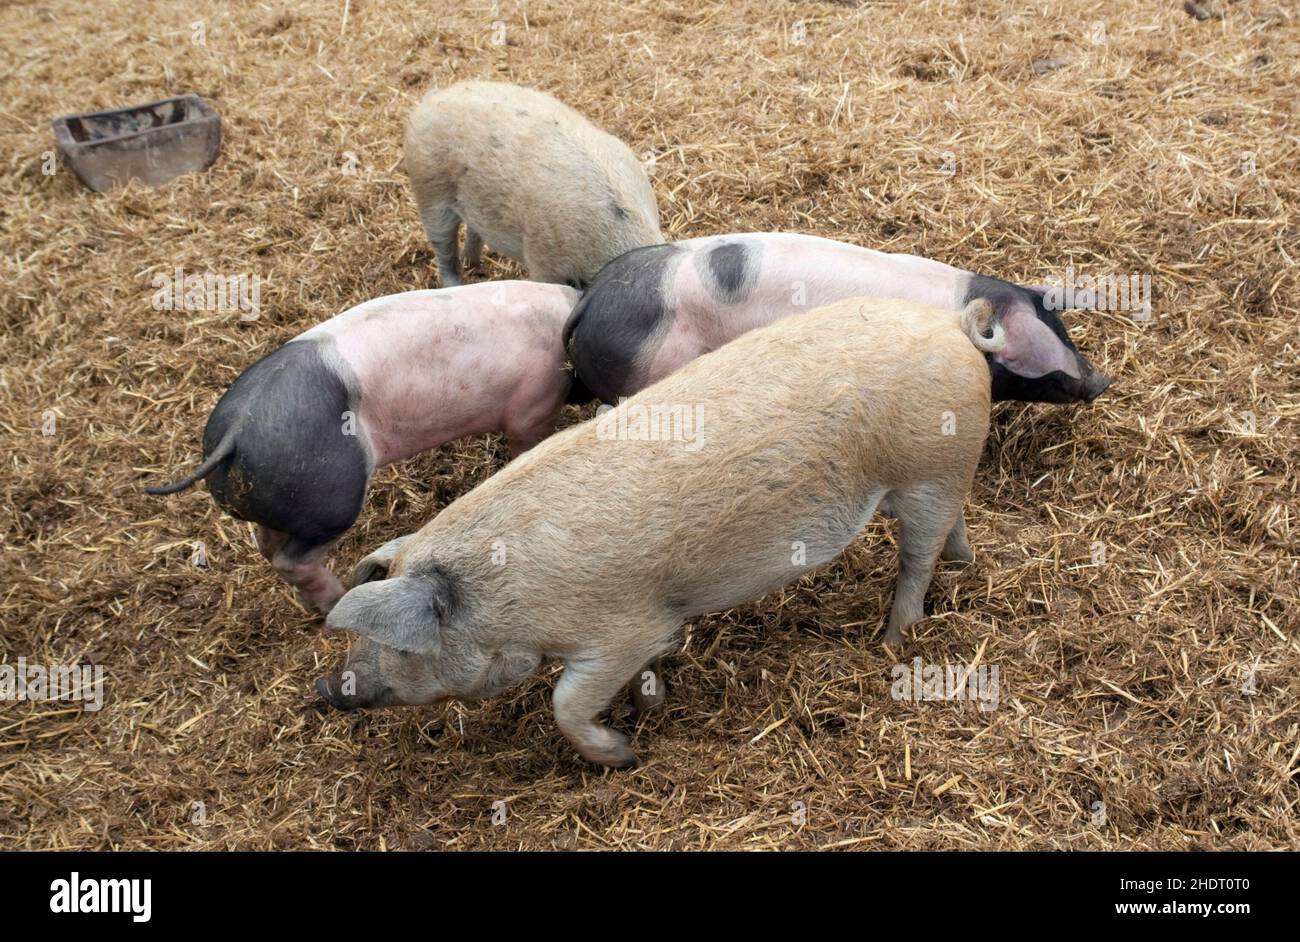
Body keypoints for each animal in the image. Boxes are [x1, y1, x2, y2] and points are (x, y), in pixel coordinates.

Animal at [145, 281, 580, 614]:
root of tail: (235, 432)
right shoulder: (533, 406)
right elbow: (528, 442)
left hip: (283, 500)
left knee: (266, 545)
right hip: (333, 497)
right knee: (292, 558)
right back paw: (336, 601)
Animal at [317, 295, 1004, 767]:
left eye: (402, 645)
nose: (328, 686)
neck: (499, 601)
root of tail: (953, 325)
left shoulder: (620, 628)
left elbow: (566, 703)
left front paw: (626, 753)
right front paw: (652, 704)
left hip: (927, 472)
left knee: (917, 561)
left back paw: (892, 640)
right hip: (935, 479)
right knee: (952, 528)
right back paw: (964, 565)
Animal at [405, 81, 663, 289]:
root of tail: (431, 99)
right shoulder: (542, 259)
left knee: (473, 229)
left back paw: (475, 265)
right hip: (429, 189)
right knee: (444, 250)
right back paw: (457, 285)